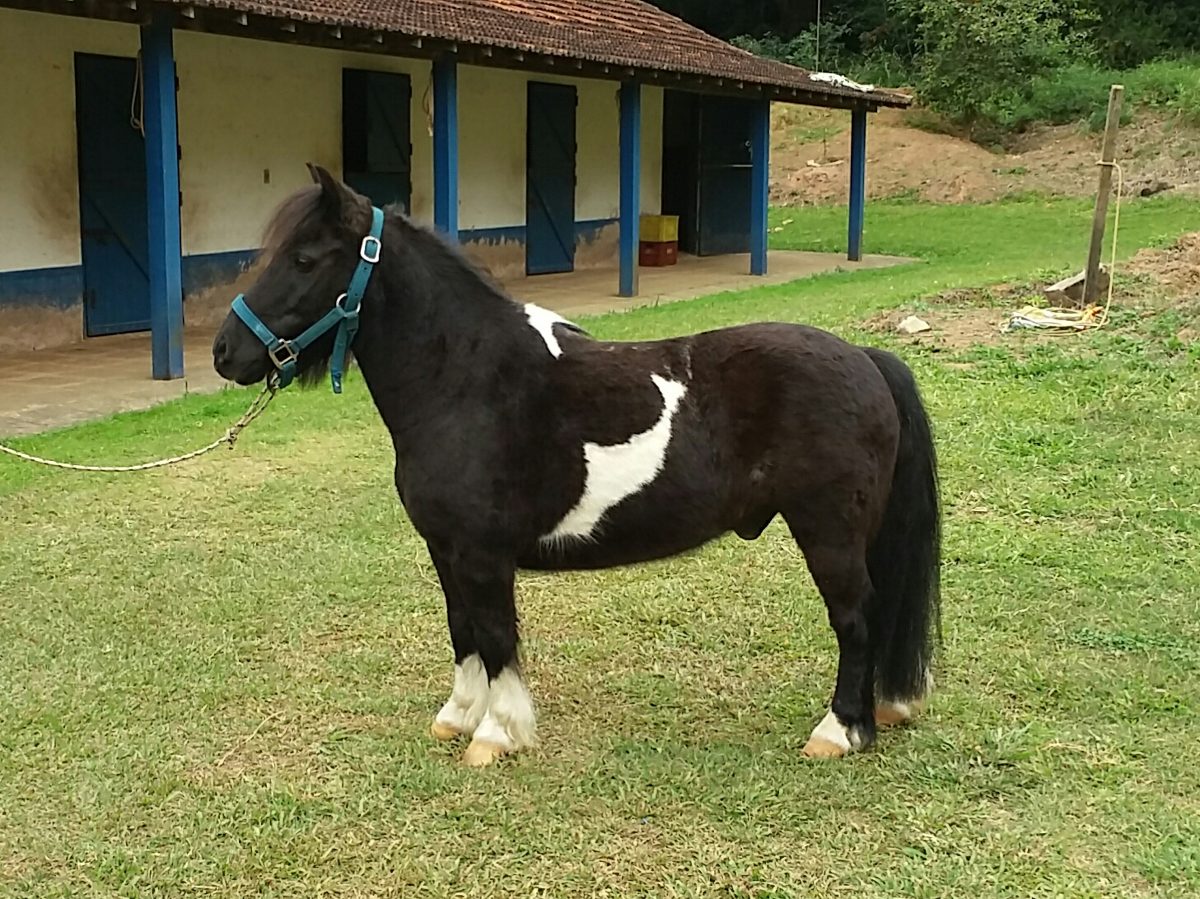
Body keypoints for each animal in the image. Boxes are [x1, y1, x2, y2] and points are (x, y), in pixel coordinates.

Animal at [212, 165, 942, 767]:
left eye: (304, 258)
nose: (225, 352)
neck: (469, 381)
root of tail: (863, 356)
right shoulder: (447, 551)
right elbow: (463, 632)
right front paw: (458, 716)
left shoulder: (483, 555)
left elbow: (497, 636)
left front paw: (497, 734)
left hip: (828, 534)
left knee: (855, 619)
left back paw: (838, 731)